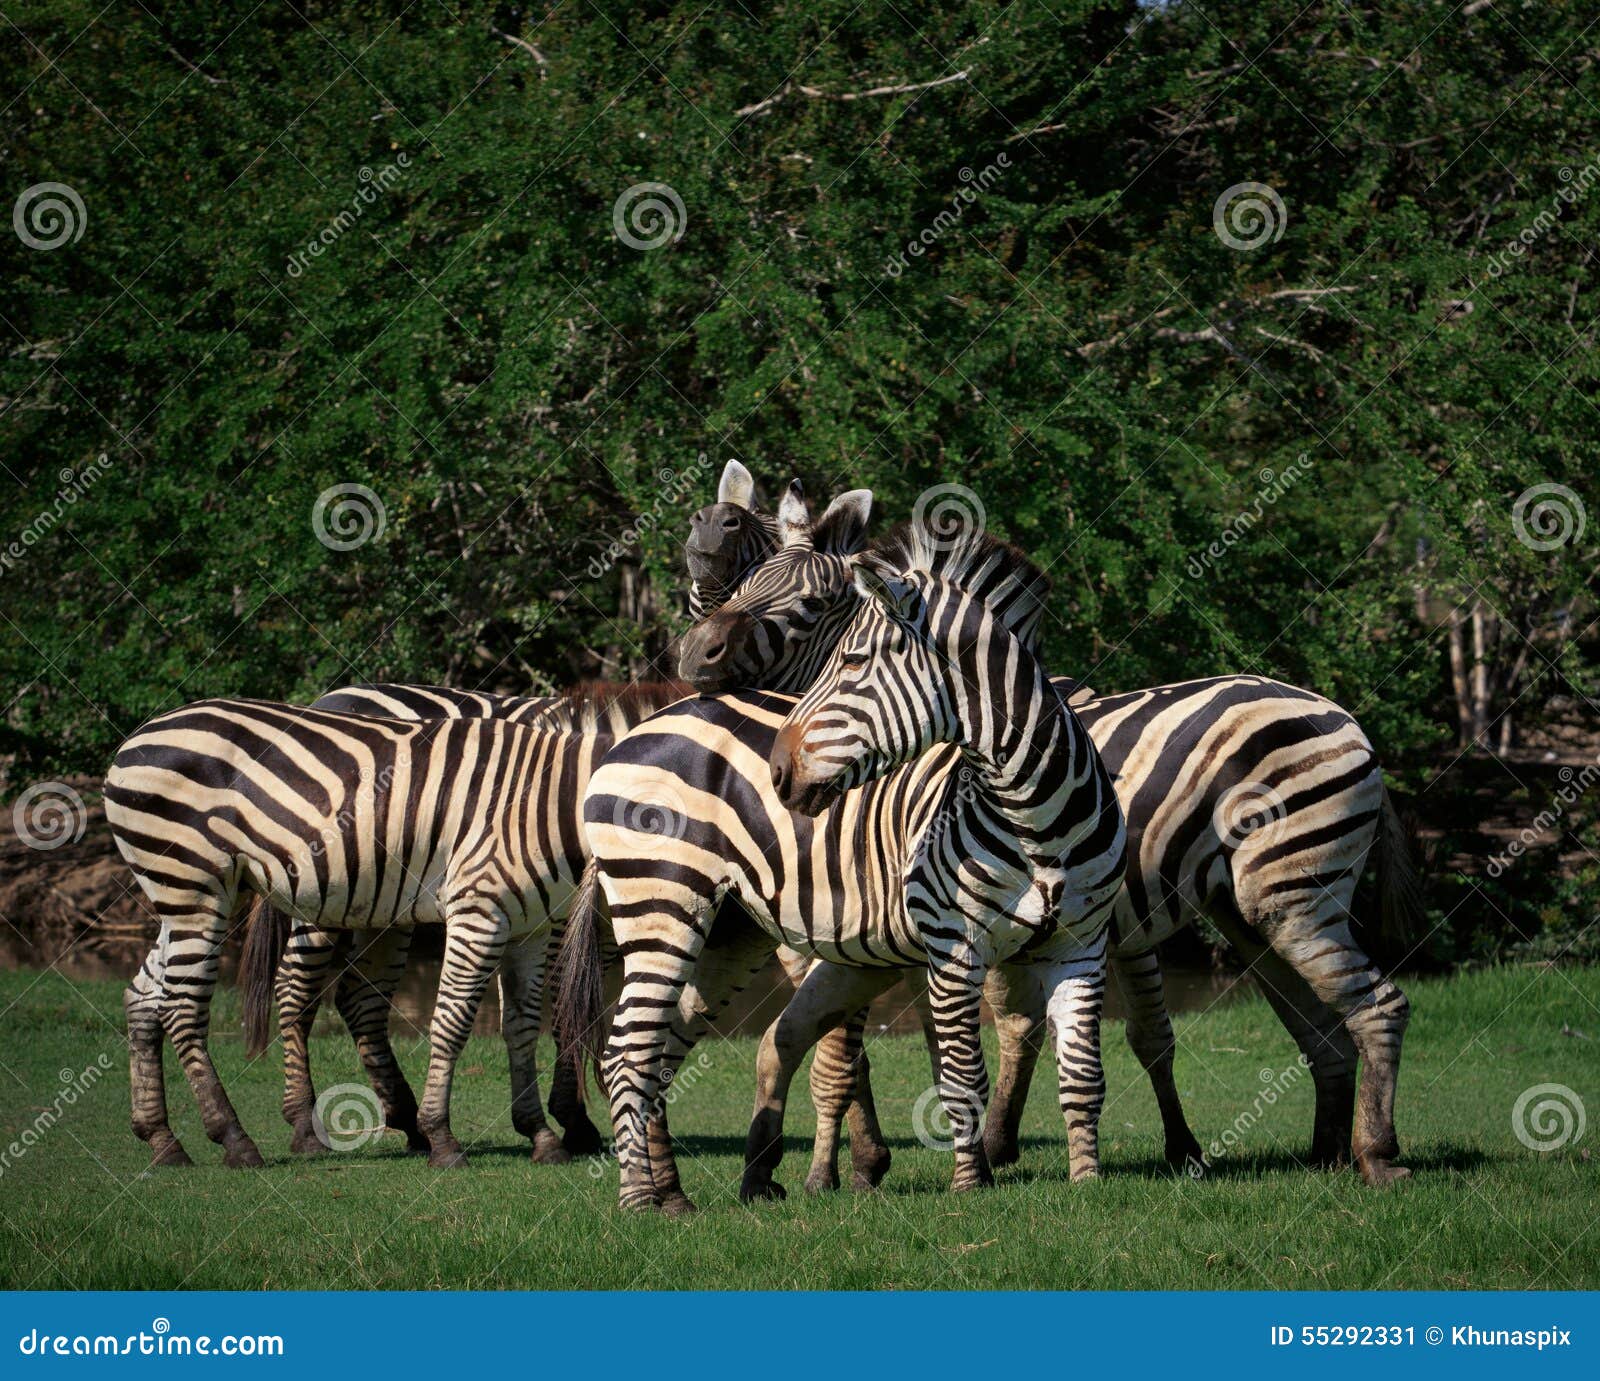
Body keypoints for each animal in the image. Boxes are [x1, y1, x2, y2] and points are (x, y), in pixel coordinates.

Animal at [106, 686, 677, 1171]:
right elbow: (458, 1021)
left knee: (145, 997)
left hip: (188, 897)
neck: (550, 802)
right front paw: (448, 1137)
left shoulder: (532, 928)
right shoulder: (483, 912)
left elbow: (522, 1023)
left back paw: (162, 1139)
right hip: (203, 890)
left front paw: (541, 1134)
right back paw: (241, 1137)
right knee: (199, 1006)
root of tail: (141, 733)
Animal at [560, 522, 1128, 1210]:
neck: (1034, 815)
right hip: (660, 905)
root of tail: (647, 725)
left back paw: (670, 1193)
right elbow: (962, 1074)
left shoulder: (1082, 947)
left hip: (724, 936)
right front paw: (970, 1186)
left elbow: (1083, 1077)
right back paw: (641, 1201)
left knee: (658, 1050)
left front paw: (1088, 1184)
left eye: (854, 663)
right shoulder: (953, 945)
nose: (777, 774)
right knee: (626, 1050)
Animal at [678, 493, 1418, 1187]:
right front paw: (916, 1156)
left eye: (812, 603)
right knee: (1323, 1029)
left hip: (1293, 897)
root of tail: (1341, 712)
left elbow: (856, 1055)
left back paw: (1375, 1154)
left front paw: (846, 1170)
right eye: (746, 584)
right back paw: (1329, 1154)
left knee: (1374, 1008)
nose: (693, 654)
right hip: (1251, 915)